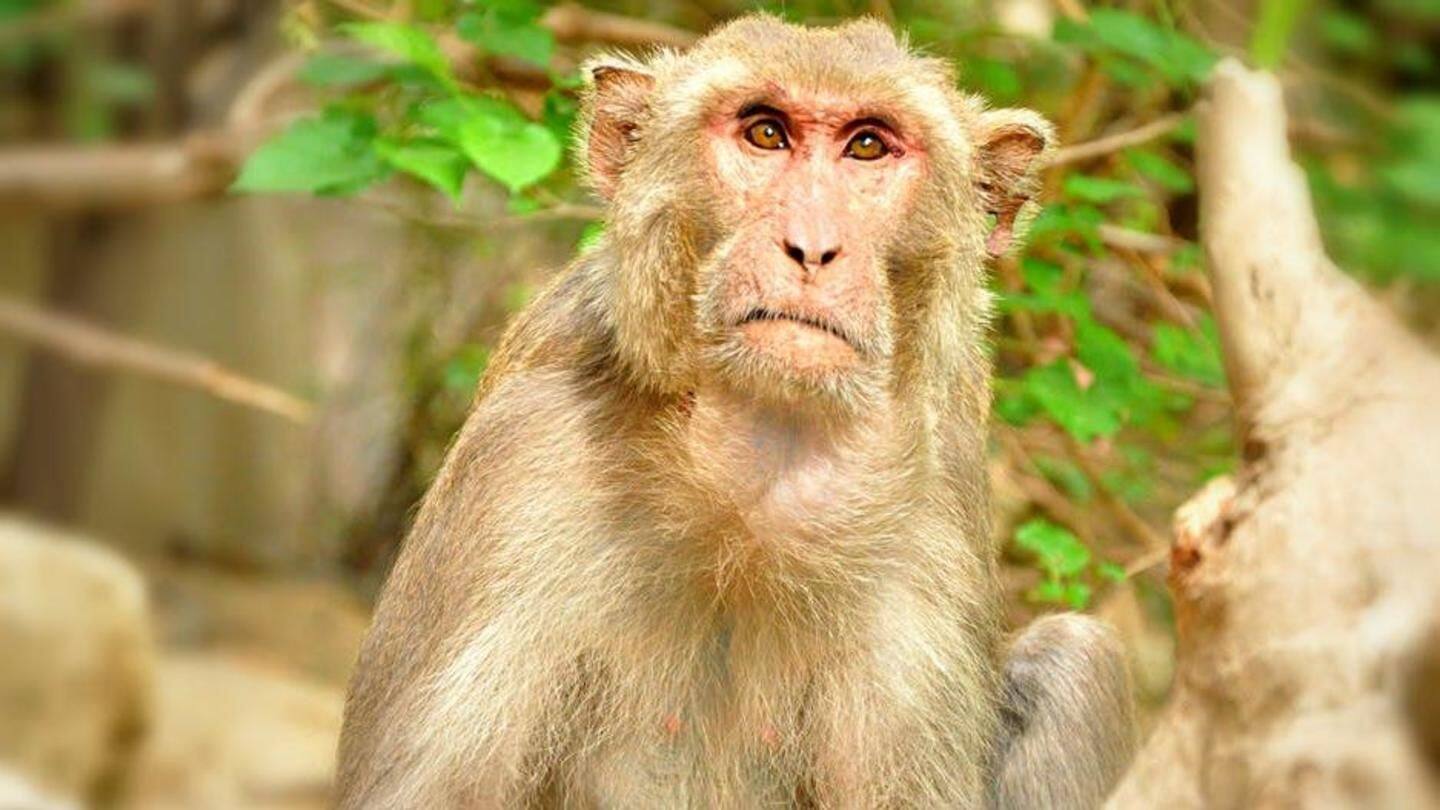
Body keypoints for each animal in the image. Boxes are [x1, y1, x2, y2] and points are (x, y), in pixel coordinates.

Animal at [336, 15, 1136, 809]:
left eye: (867, 146)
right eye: (766, 134)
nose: (813, 247)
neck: (758, 474)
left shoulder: (933, 516)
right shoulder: (526, 458)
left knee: (1077, 663)